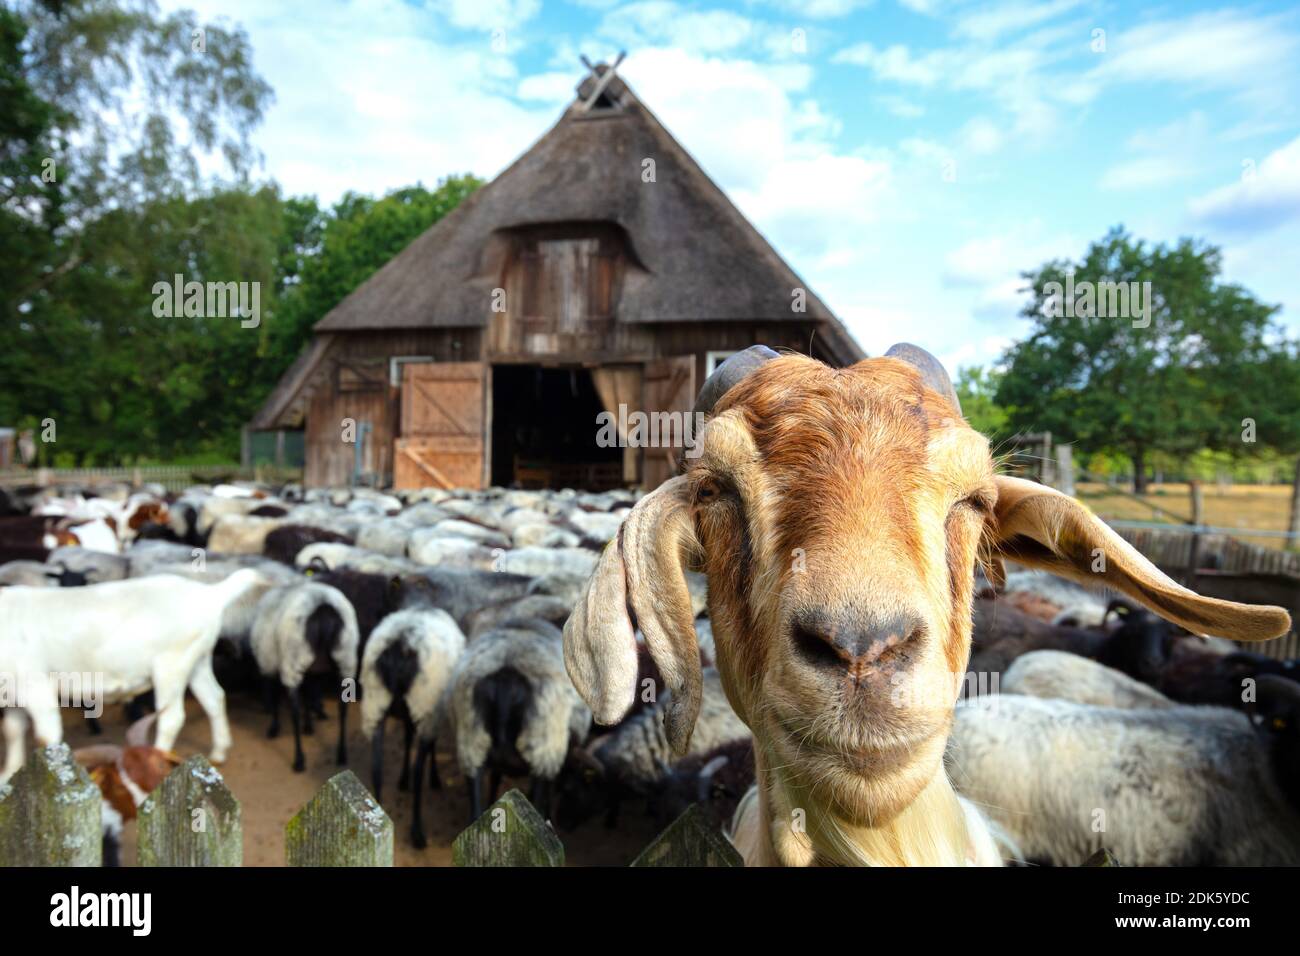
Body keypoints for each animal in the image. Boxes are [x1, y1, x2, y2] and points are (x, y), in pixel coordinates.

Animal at [0, 568, 268, 781]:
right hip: (197, 660)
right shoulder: (13, 694)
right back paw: (219, 751)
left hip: (171, 664)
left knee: (172, 718)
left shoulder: (35, 686)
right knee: (214, 697)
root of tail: (209, 593)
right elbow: (12, 730)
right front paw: (8, 775)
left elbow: (46, 737)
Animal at [249, 581, 359, 772]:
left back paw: (299, 760)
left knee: (294, 710)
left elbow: (275, 697)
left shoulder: (271, 664)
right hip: (346, 659)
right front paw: (308, 726)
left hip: (292, 661)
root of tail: (323, 607)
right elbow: (308, 697)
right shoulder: (312, 673)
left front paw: (274, 728)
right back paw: (341, 754)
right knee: (343, 708)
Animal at [359, 608, 466, 847]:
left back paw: (379, 809)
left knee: (376, 766)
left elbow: (407, 738)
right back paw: (417, 831)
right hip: (424, 702)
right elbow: (428, 746)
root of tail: (401, 642)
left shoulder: (409, 714)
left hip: (375, 702)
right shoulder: (433, 713)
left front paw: (402, 779)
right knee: (419, 769)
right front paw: (433, 777)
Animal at [448, 619, 591, 822]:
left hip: (472, 741)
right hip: (544, 749)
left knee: (475, 810)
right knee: (538, 802)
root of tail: (506, 672)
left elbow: (495, 779)